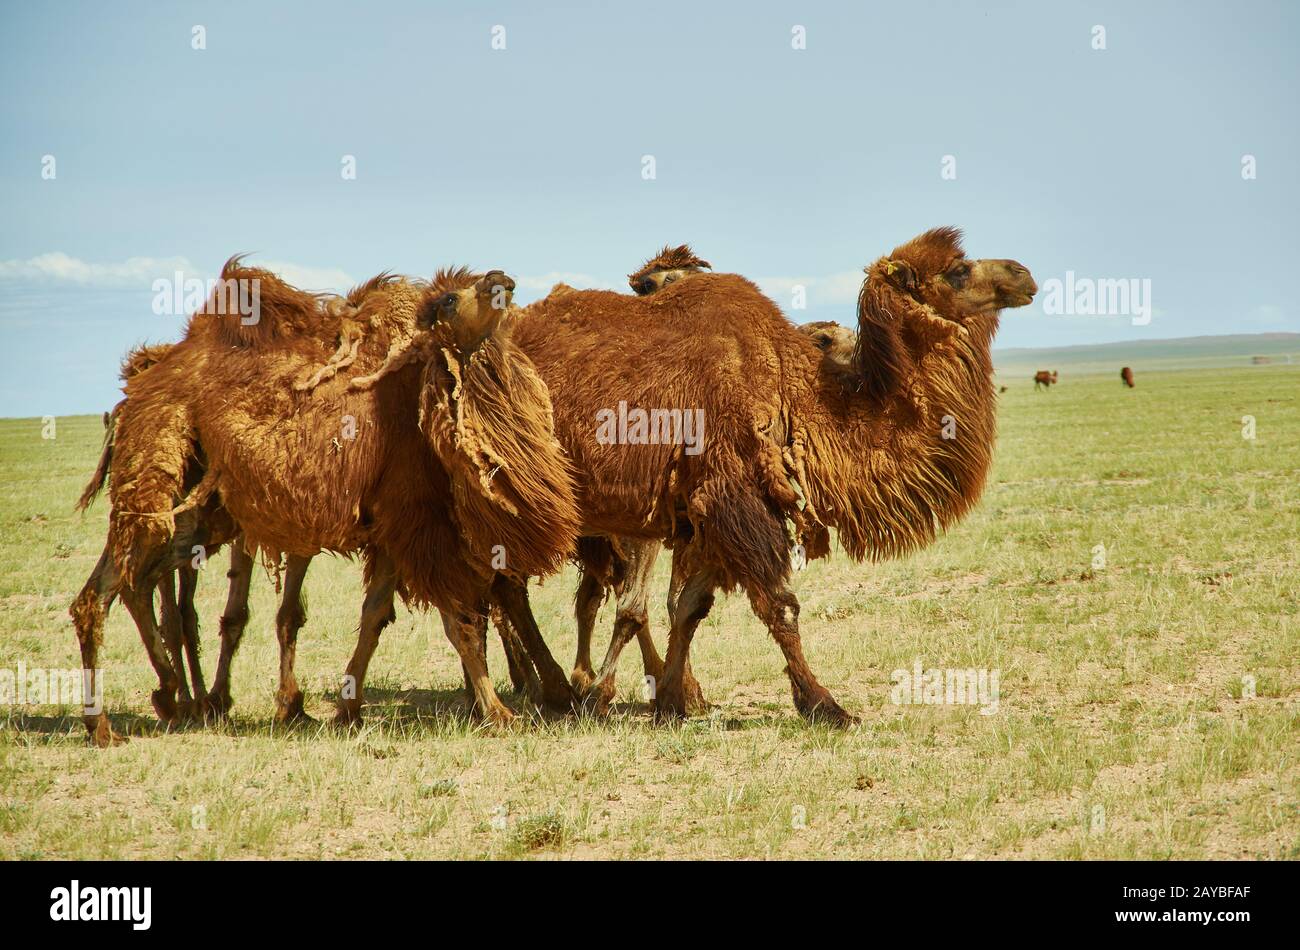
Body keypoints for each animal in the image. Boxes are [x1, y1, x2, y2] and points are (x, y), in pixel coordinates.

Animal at [71, 261, 580, 745]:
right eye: (451, 298)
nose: (502, 279)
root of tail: (132, 398)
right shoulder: (417, 521)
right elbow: (460, 623)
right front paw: (499, 713)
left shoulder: (390, 531)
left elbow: (375, 616)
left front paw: (346, 710)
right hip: (155, 474)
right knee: (105, 591)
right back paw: (113, 722)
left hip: (202, 511)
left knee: (133, 582)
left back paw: (167, 697)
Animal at [498, 227, 1035, 723]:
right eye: (958, 270)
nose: (1023, 273)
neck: (792, 391)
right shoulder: (731, 493)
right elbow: (778, 603)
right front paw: (824, 704)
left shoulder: (708, 508)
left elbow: (690, 606)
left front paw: (674, 701)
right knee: (511, 590)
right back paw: (554, 692)